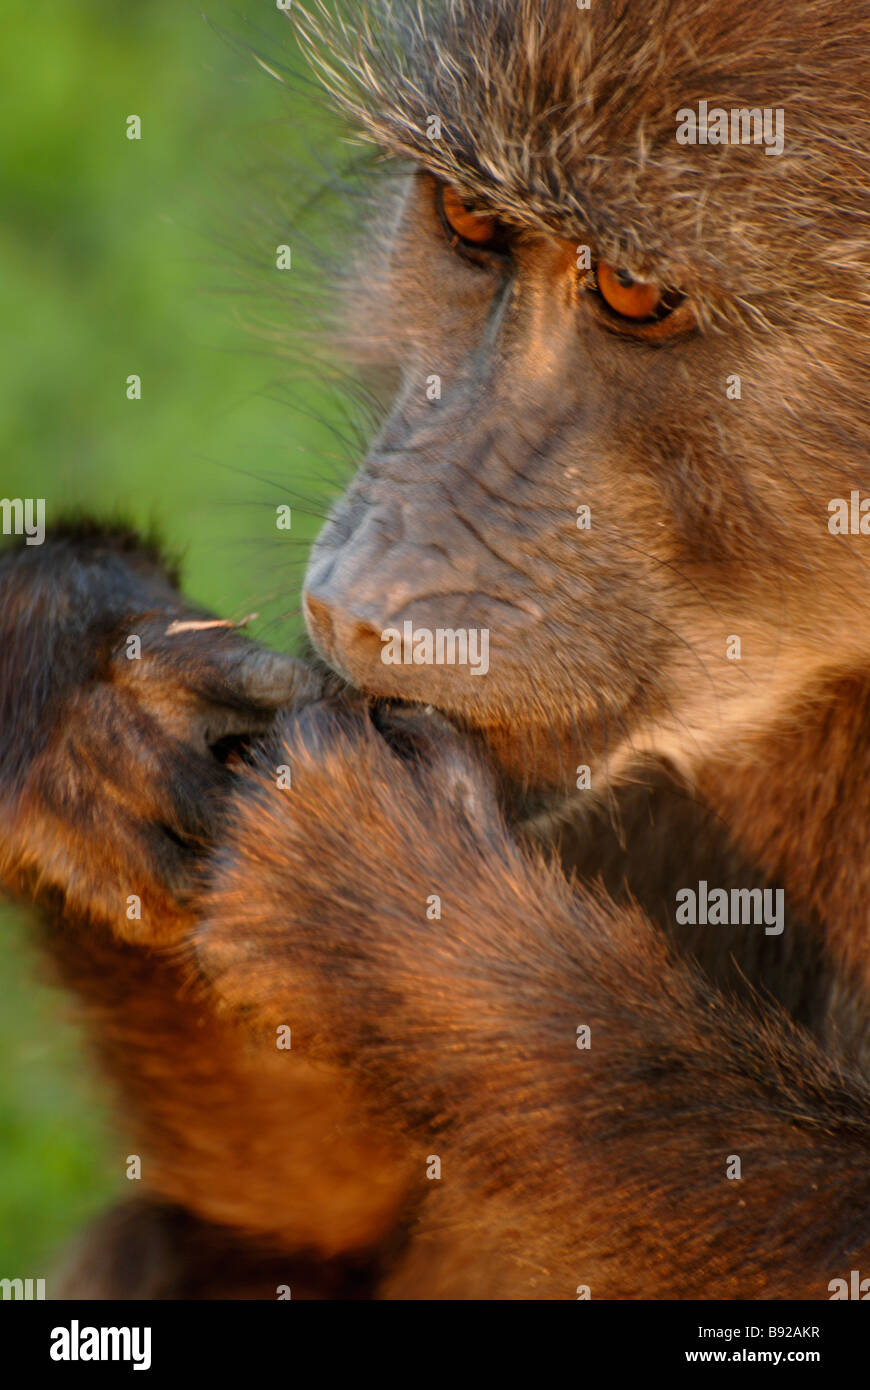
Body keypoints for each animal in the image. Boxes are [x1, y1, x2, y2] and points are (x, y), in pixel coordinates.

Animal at [3, 0, 870, 1298]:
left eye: (635, 289)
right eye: (468, 219)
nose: (352, 599)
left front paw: (389, 919)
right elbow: (314, 1199)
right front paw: (84, 686)